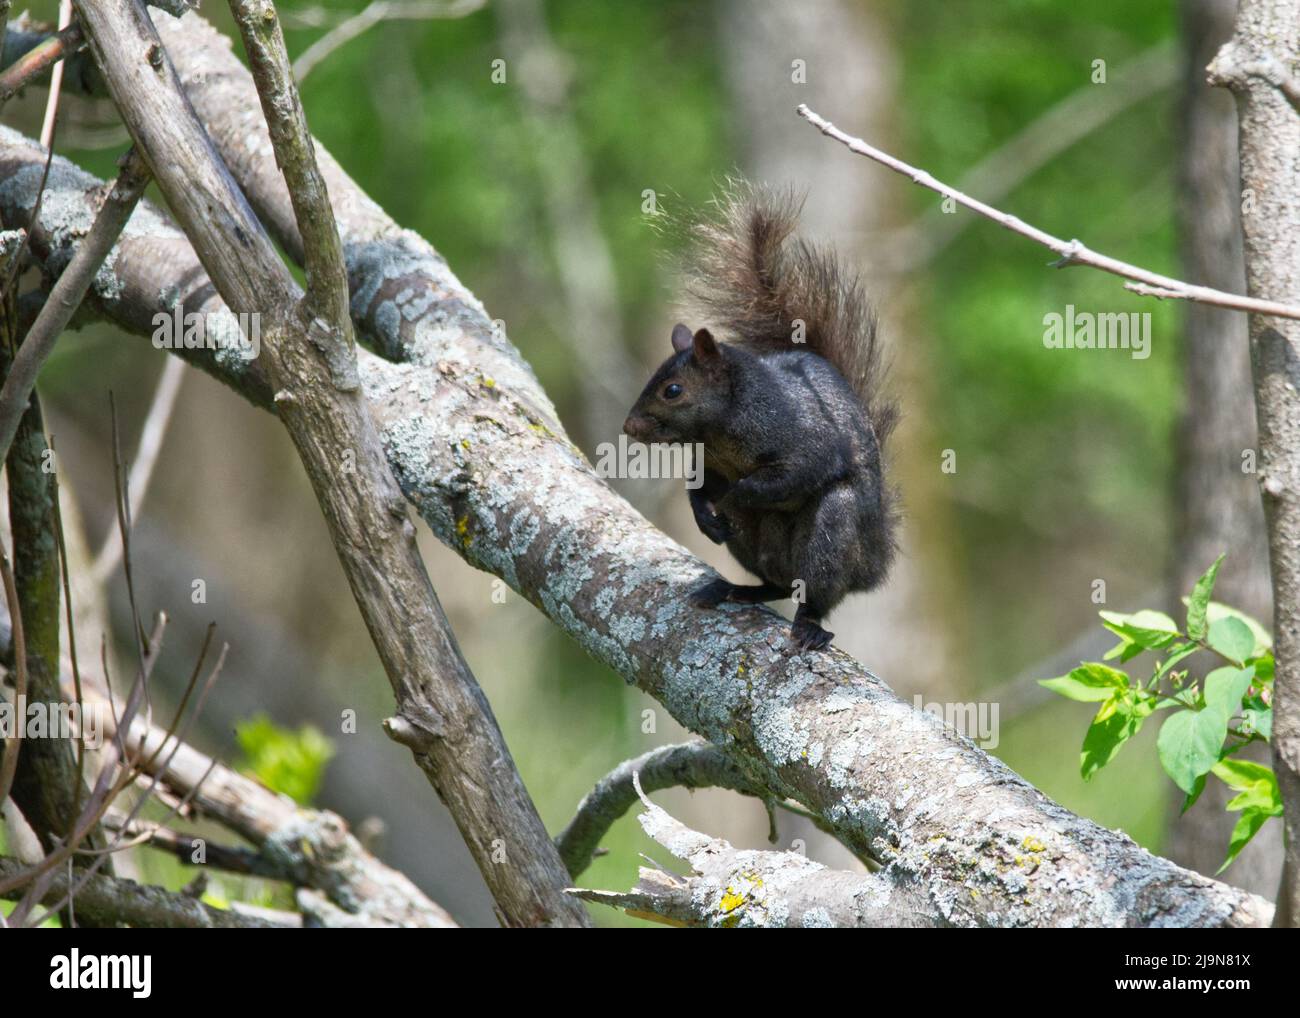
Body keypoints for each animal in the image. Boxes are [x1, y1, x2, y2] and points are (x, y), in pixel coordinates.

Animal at [622, 184, 898, 651]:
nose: (629, 428)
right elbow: (698, 485)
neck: (717, 434)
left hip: (833, 534)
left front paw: (734, 497)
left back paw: (809, 624)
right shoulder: (708, 462)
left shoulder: (802, 441)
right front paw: (704, 513)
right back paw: (734, 588)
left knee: (814, 592)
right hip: (754, 547)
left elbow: (794, 473)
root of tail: (873, 566)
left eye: (672, 390)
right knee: (778, 585)